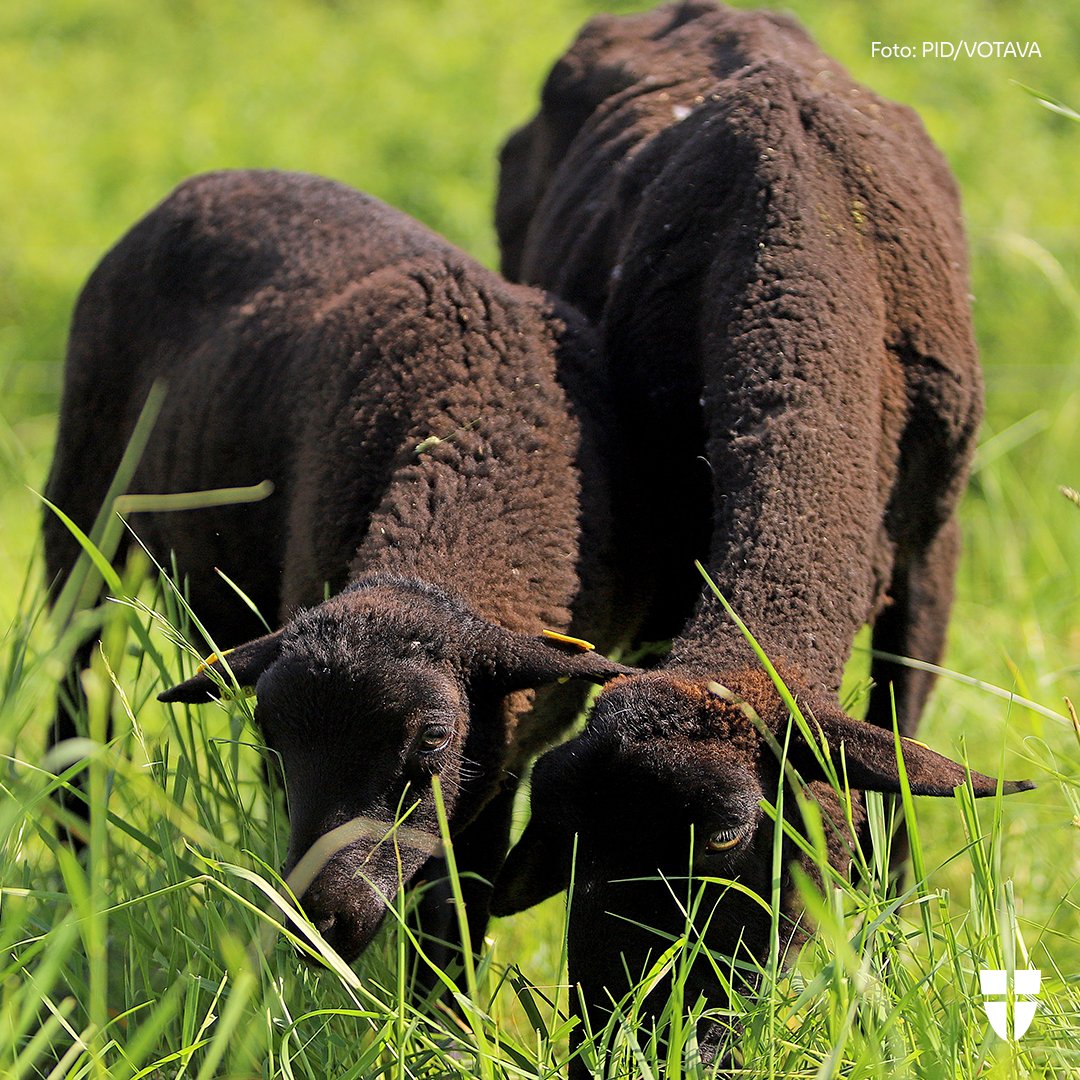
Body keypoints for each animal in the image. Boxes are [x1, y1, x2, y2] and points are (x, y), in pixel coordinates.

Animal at [43, 168, 641, 967]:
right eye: (272, 733)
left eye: (432, 738)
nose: (318, 922)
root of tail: (207, 182)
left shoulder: (507, 752)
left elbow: (456, 912)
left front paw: (441, 1002)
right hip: (83, 504)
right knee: (72, 690)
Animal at [488, 1, 1034, 1064]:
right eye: (571, 844)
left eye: (731, 836)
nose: (630, 1048)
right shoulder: (670, 570)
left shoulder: (934, 550)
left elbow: (899, 772)